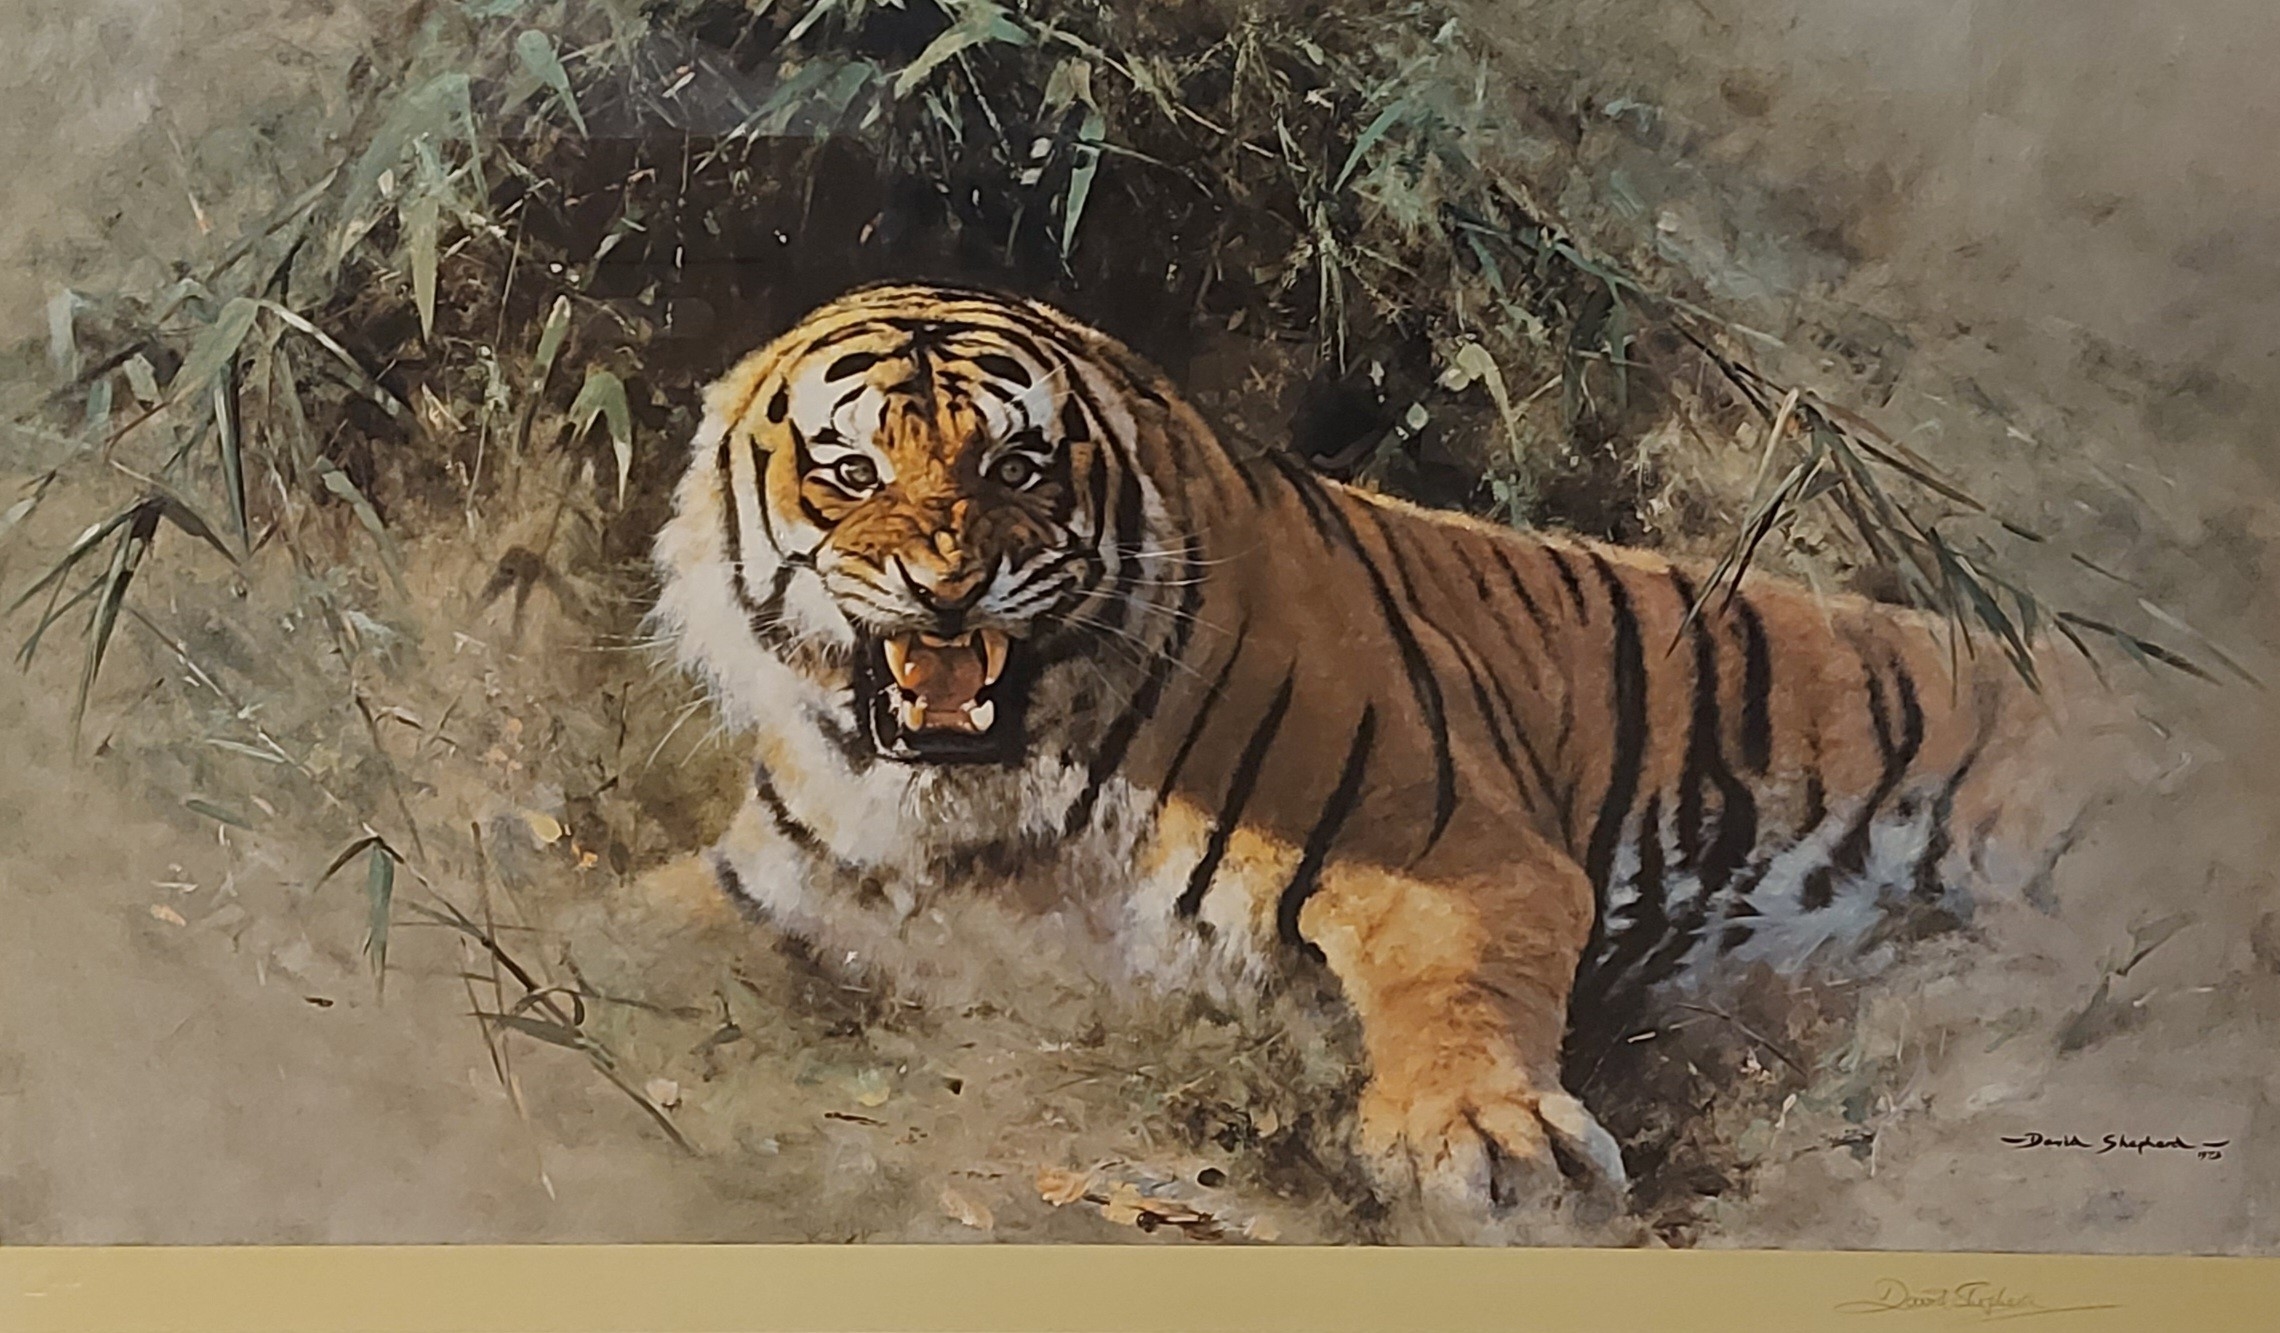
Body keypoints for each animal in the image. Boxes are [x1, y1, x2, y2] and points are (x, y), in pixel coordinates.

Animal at [646, 279, 2135, 1215]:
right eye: (851, 470)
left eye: (1017, 466)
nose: (946, 586)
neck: (993, 805)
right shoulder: (767, 886)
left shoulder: (1458, 853)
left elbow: (1457, 995)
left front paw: (1484, 1141)